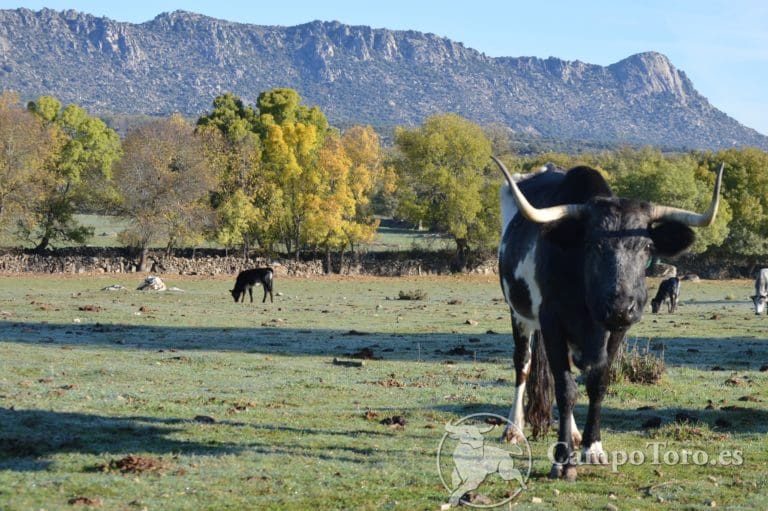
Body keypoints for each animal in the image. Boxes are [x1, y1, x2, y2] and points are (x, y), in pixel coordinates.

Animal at [492, 156, 723, 481]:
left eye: (647, 247)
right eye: (591, 245)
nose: (620, 307)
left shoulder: (616, 332)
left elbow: (597, 384)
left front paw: (592, 447)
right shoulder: (552, 322)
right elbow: (565, 389)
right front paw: (563, 461)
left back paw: (575, 434)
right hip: (519, 314)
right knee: (523, 365)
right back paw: (514, 429)